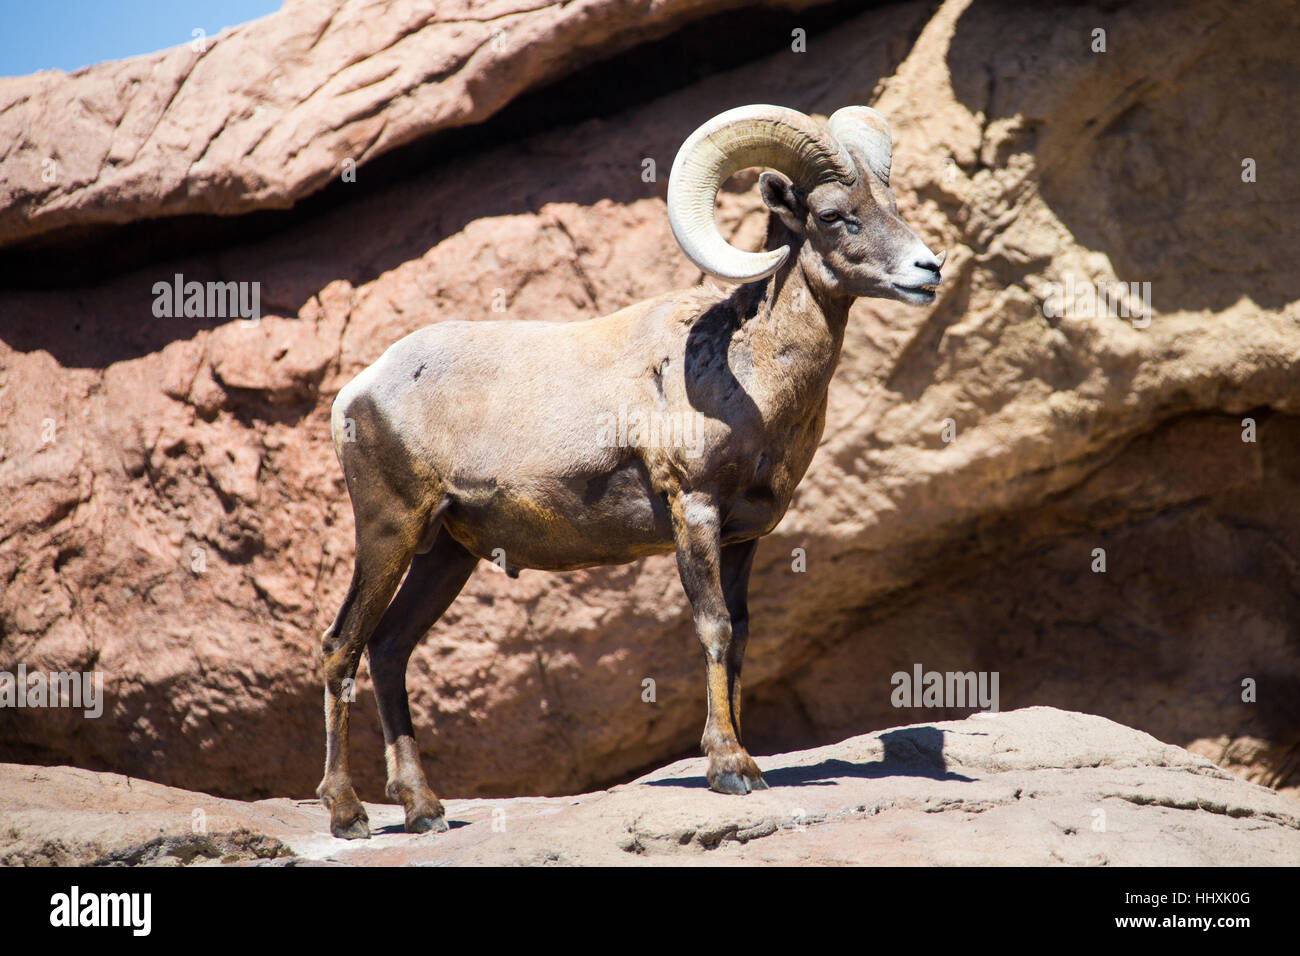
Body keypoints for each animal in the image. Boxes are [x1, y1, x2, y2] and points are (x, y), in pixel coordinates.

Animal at [317, 104, 945, 838]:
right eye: (835, 215)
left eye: (891, 205)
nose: (928, 268)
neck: (748, 367)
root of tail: (358, 391)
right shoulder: (693, 511)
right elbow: (713, 627)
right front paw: (730, 768)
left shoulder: (743, 537)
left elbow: (739, 636)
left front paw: (744, 758)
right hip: (389, 532)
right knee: (342, 647)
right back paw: (348, 813)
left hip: (448, 554)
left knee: (389, 650)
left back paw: (424, 809)